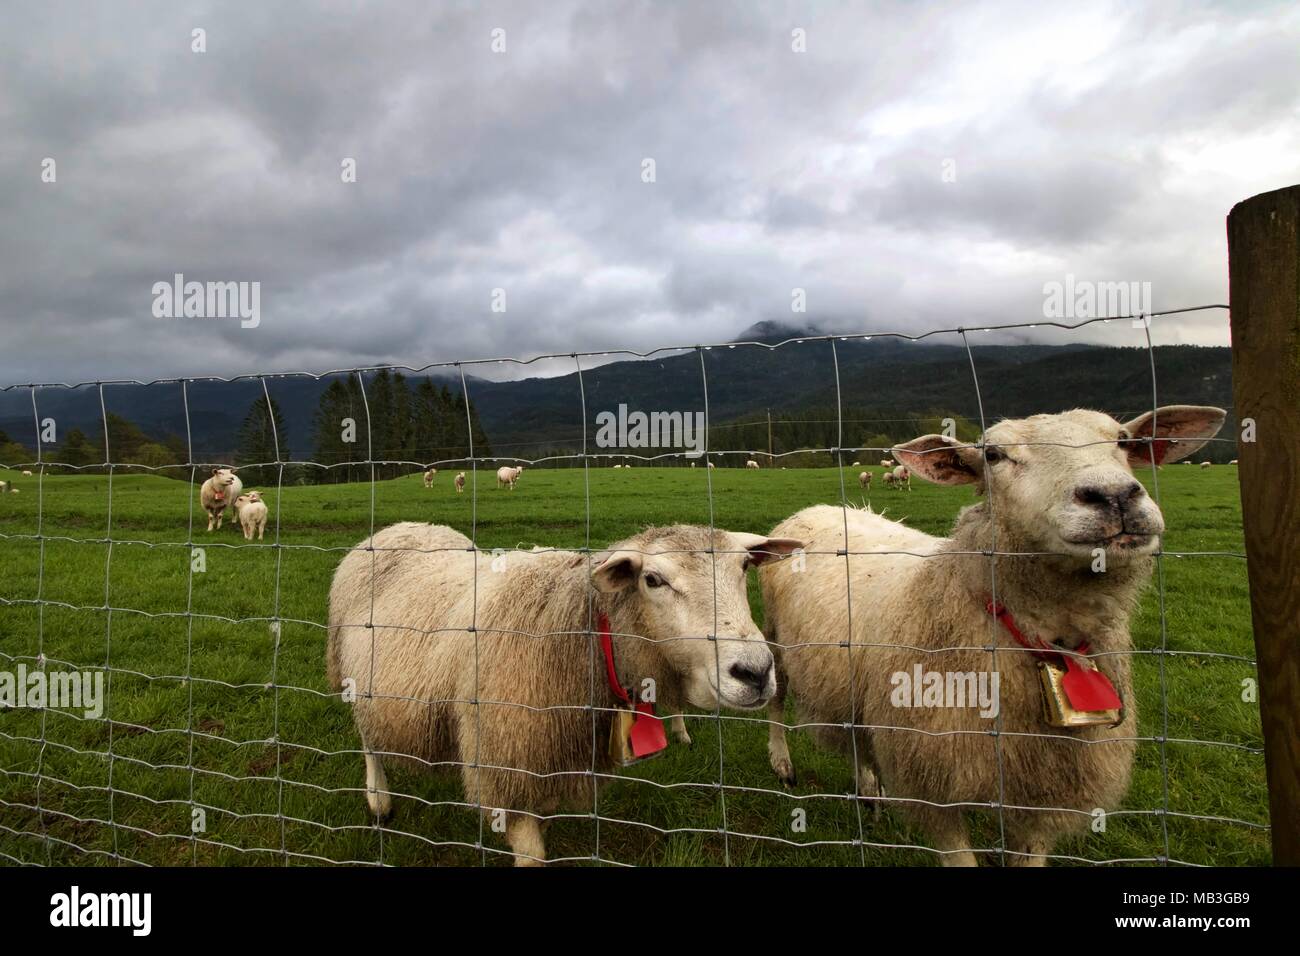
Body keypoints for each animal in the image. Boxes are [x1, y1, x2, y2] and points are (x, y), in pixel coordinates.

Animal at [327, 522, 802, 865]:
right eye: (652, 580)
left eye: (744, 569)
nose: (756, 671)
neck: (582, 633)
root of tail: (399, 527)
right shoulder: (508, 759)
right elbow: (532, 854)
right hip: (353, 675)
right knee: (368, 741)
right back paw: (379, 800)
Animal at [760, 405, 1225, 866]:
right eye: (993, 455)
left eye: (1125, 441)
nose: (1114, 496)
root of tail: (819, 508)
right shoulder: (935, 782)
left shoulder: (1042, 795)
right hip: (775, 640)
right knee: (778, 700)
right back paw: (783, 764)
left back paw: (870, 791)